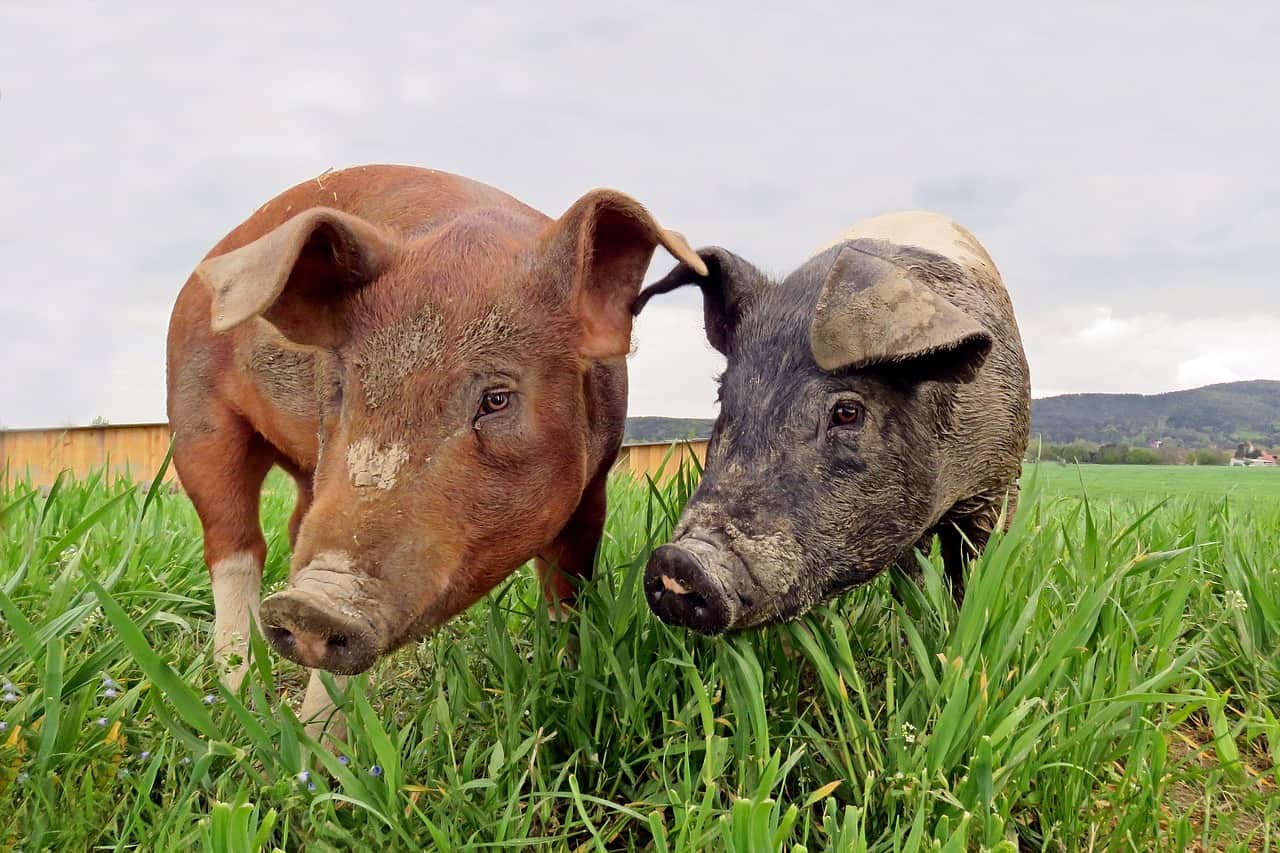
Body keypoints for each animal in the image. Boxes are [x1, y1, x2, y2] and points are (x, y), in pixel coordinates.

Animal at [166, 165, 706, 728]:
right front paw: (319, 747)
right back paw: (237, 700)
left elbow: (568, 589)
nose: (311, 605)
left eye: (496, 398)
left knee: (295, 526)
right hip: (194, 414)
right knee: (233, 542)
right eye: (341, 389)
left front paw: (569, 682)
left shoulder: (593, 484)